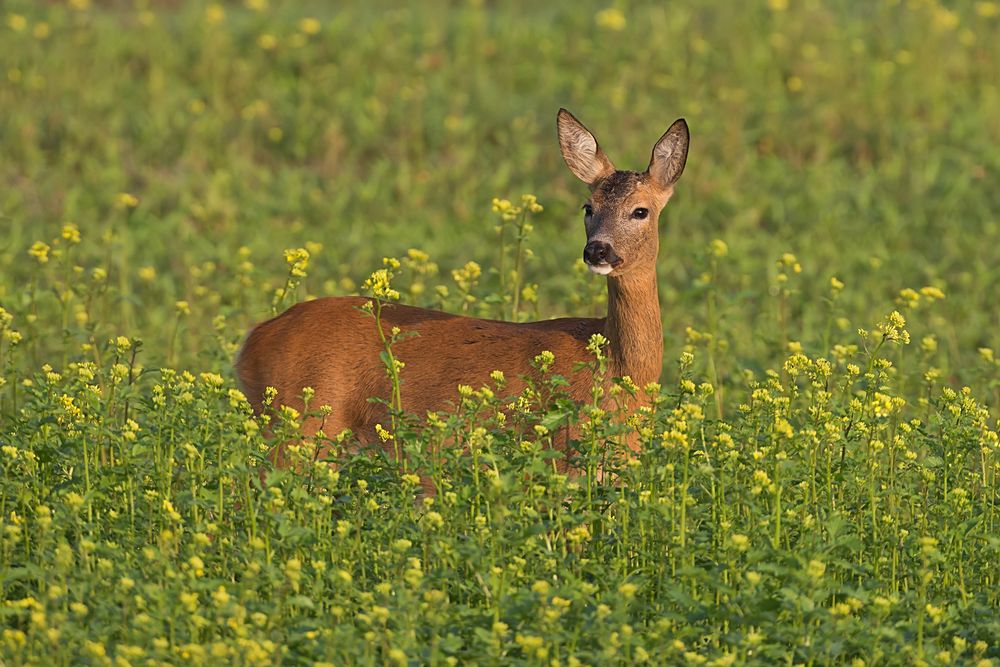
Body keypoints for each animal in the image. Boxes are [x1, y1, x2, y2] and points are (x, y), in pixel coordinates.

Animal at [234, 109, 688, 472]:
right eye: (587, 207)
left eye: (641, 210)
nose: (597, 250)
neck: (619, 369)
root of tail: (253, 339)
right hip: (300, 423)